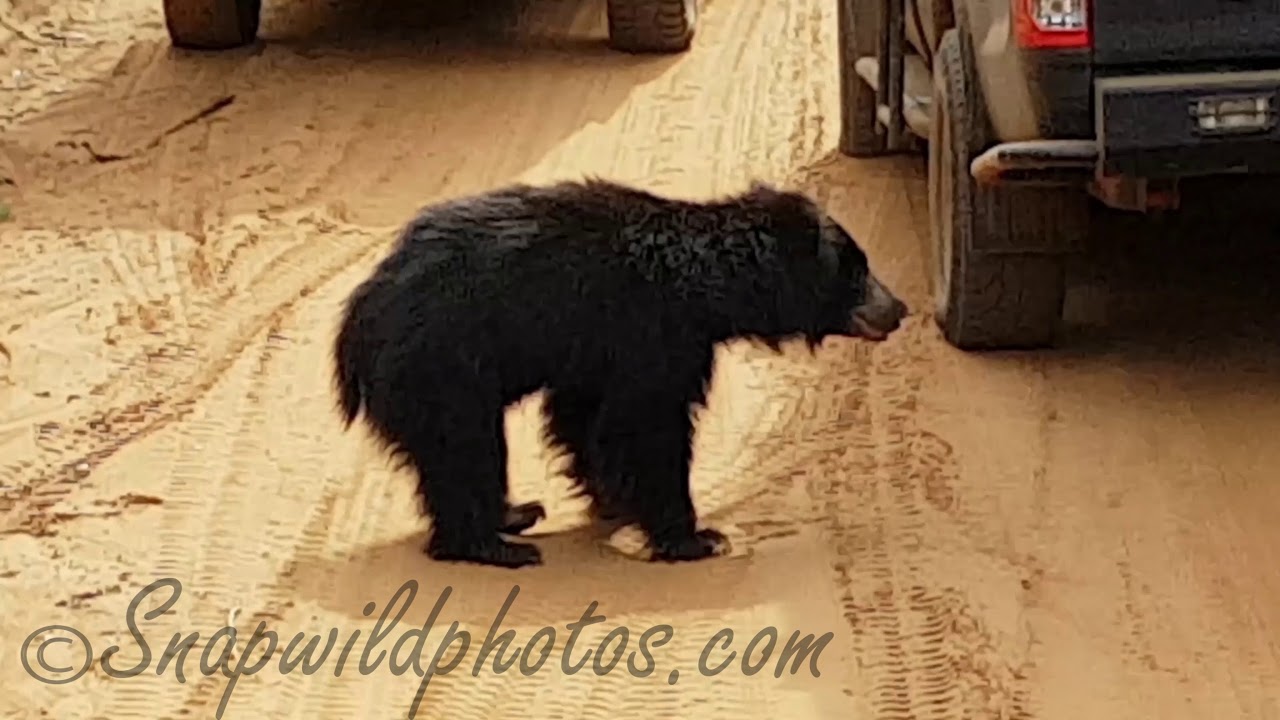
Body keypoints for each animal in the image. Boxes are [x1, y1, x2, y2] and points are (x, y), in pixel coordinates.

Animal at [332, 178, 907, 569]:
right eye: (857, 272)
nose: (899, 310)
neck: (706, 288)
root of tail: (356, 324)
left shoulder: (596, 350)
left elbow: (584, 417)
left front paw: (613, 501)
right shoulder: (652, 333)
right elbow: (646, 426)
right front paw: (698, 538)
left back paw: (515, 514)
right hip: (442, 366)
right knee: (465, 450)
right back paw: (495, 545)